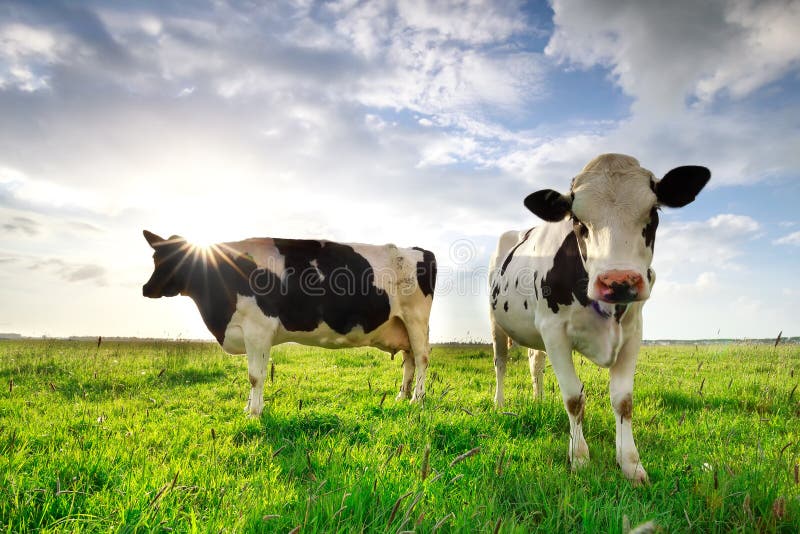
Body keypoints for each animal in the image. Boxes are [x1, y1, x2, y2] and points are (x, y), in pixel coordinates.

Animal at [142, 232, 436, 416]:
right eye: (157, 258)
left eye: (173, 259)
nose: (146, 288)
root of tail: (419, 250)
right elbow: (253, 374)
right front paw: (249, 408)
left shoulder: (258, 329)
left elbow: (255, 375)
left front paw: (254, 413)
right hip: (401, 325)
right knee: (409, 360)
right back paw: (401, 396)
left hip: (416, 318)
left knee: (421, 358)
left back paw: (417, 399)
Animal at [488, 154, 709, 483]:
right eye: (577, 221)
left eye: (653, 212)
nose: (619, 281)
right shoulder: (554, 331)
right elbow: (574, 398)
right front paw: (579, 457)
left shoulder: (633, 333)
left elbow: (623, 401)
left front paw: (630, 464)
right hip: (496, 325)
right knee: (500, 363)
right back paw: (500, 404)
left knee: (535, 363)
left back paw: (539, 400)